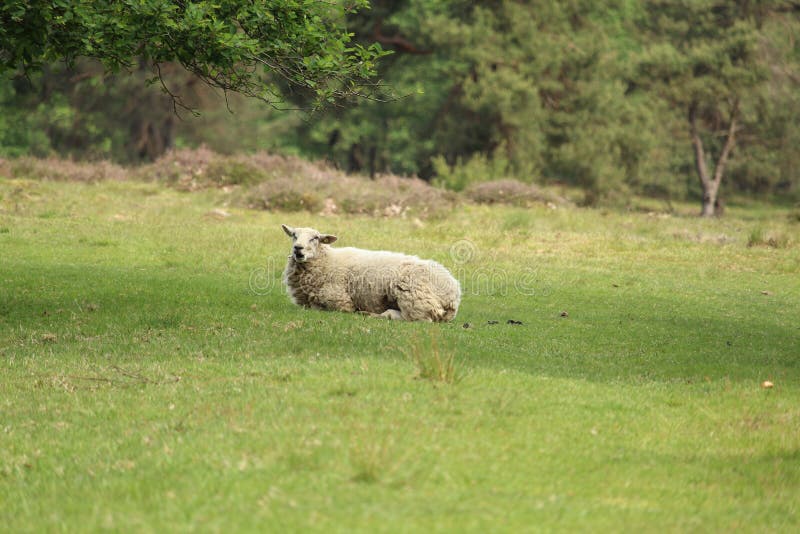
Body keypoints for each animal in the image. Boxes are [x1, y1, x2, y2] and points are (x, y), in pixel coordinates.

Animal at [281, 224, 461, 322]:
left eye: (315, 238)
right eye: (294, 235)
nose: (298, 248)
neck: (327, 260)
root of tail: (454, 293)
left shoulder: (339, 299)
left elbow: (319, 307)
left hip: (415, 298)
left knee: (411, 318)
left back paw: (369, 314)